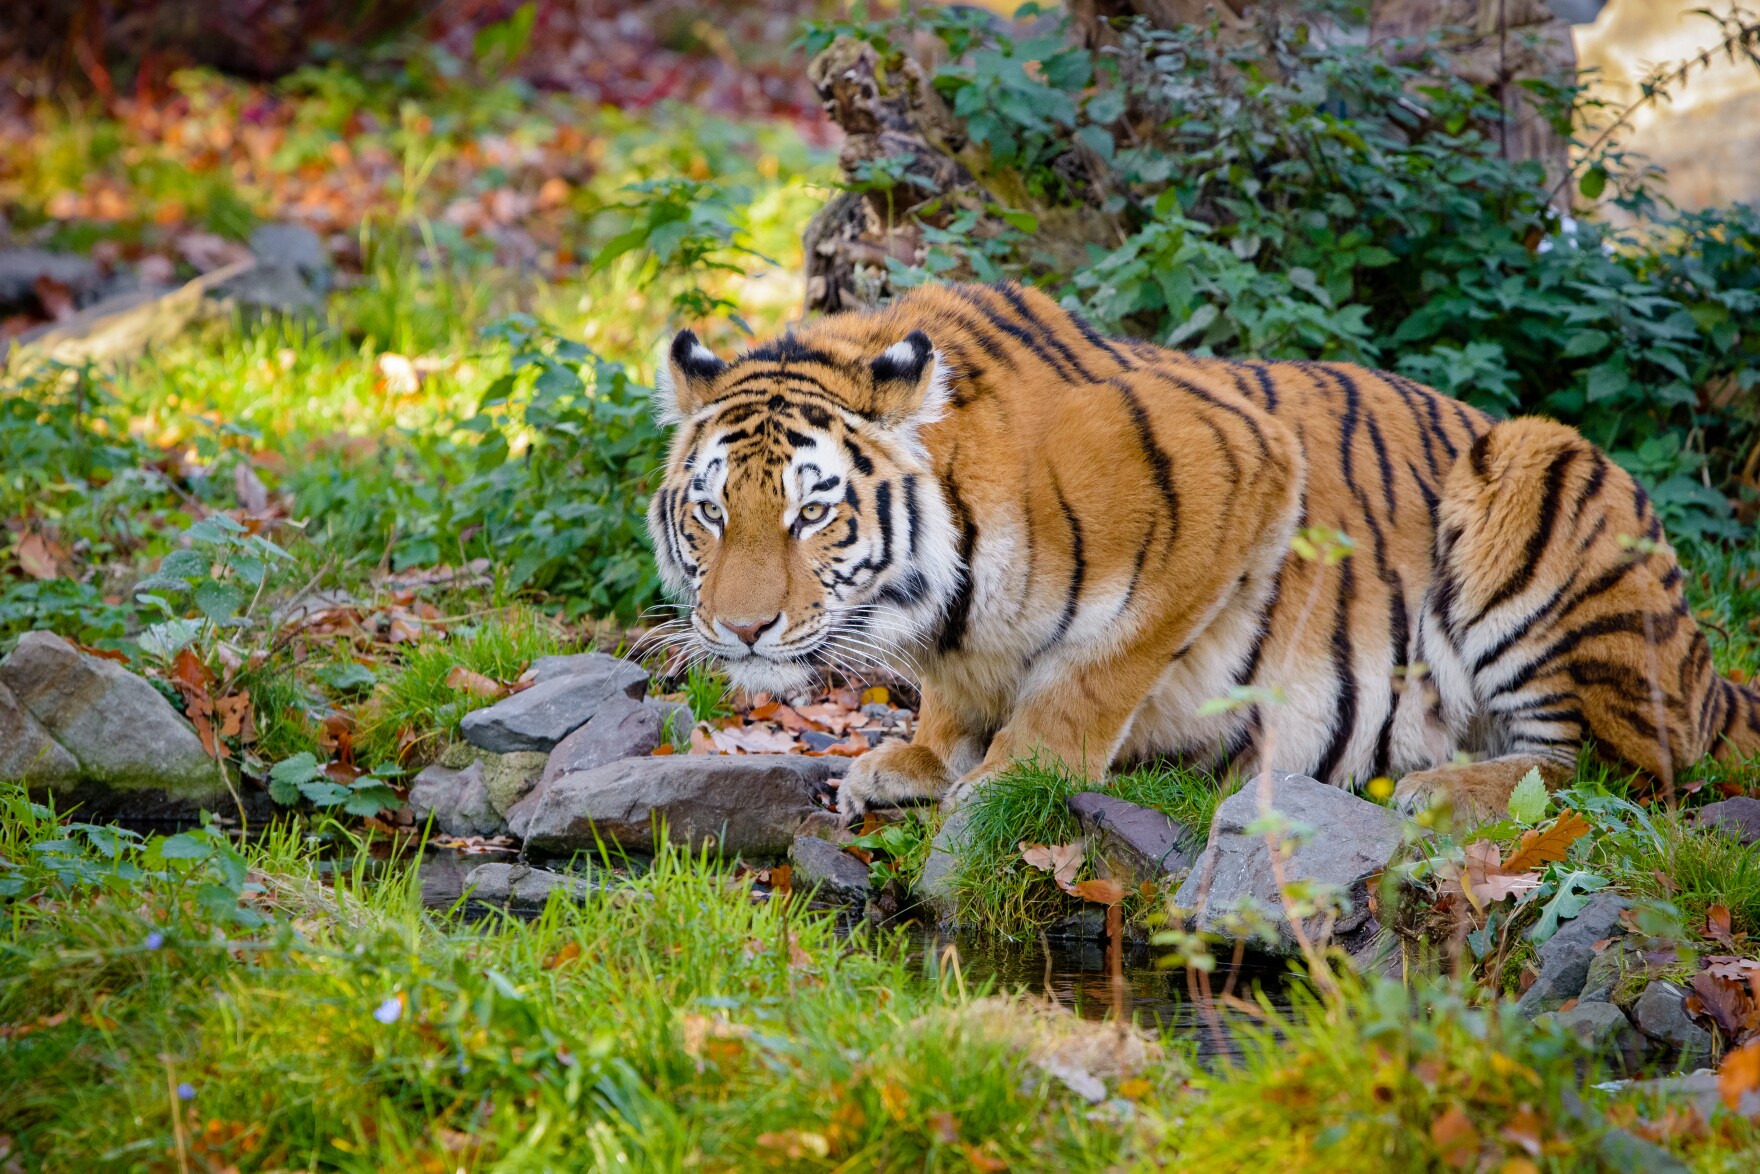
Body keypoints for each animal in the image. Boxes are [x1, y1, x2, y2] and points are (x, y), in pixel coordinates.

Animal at [645, 280, 1760, 823]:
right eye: (710, 512)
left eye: (810, 513)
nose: (741, 629)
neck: (942, 599)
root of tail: (1711, 677)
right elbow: (961, 695)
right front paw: (915, 758)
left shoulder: (1236, 474)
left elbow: (1090, 673)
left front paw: (1005, 780)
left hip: (1539, 472)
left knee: (1622, 770)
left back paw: (1447, 790)